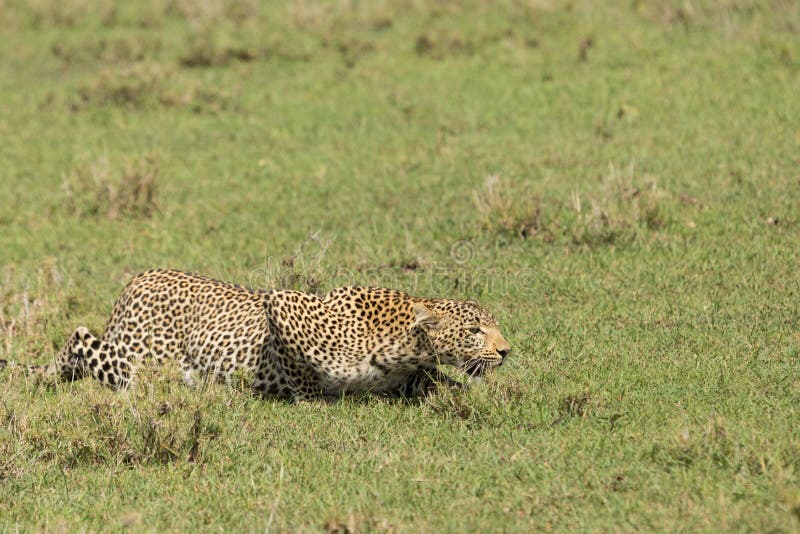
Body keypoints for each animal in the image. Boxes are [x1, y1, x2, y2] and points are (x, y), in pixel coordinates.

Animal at [0, 269, 511, 400]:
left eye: (494, 326)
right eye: (475, 330)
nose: (507, 351)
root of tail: (140, 277)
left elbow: (435, 383)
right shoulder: (282, 304)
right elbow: (300, 370)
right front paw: (310, 397)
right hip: (133, 365)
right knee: (77, 338)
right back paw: (45, 377)